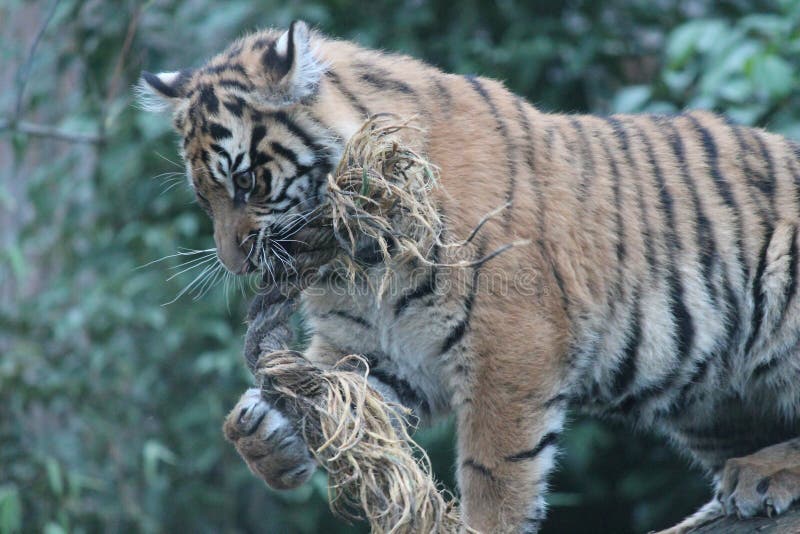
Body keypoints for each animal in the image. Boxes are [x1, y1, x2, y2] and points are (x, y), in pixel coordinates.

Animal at [138, 20, 800, 533]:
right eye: (203, 196)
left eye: (247, 181)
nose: (234, 264)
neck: (359, 259)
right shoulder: (384, 351)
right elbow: (339, 395)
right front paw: (264, 436)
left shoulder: (512, 341)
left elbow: (495, 466)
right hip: (711, 405)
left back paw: (766, 473)